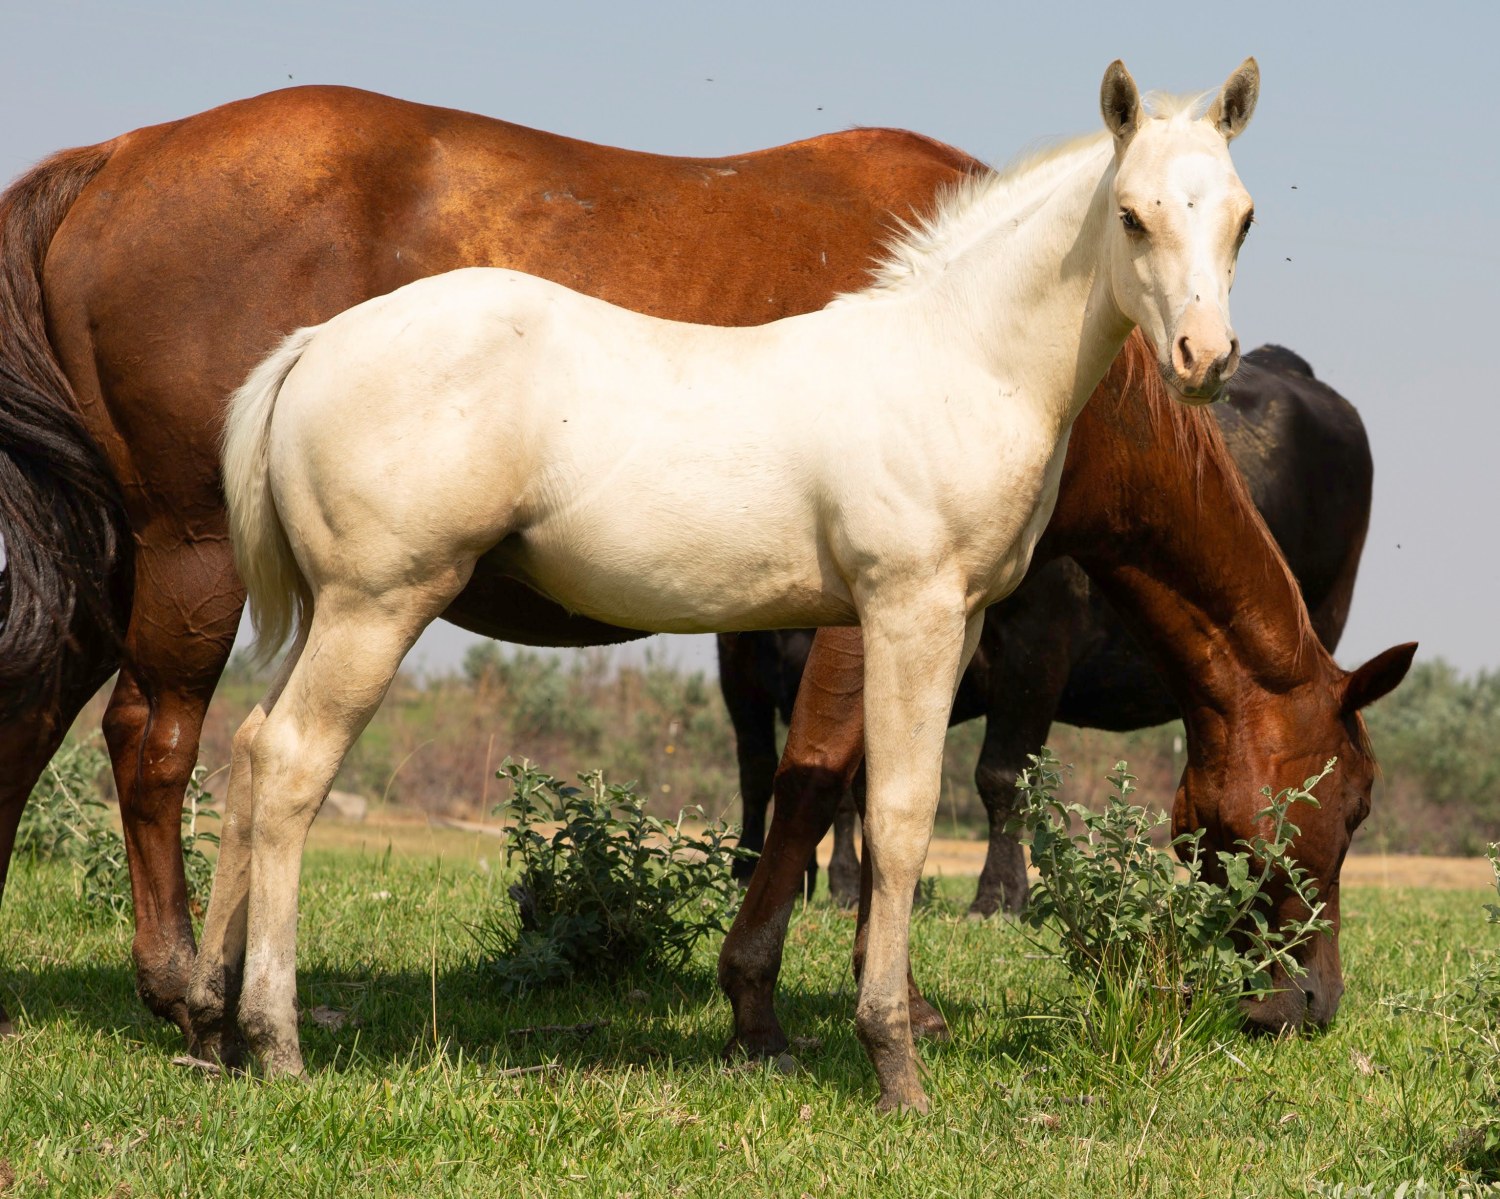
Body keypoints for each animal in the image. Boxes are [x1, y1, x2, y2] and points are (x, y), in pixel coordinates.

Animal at [198, 60, 1264, 1111]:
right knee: (291, 765)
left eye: (1243, 218)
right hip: (380, 604)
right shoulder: (907, 610)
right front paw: (894, 1063)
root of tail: (311, 346)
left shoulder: (955, 622)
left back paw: (208, 1023)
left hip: (331, 611)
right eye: (1130, 215)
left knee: (247, 751)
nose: (1204, 360)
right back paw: (275, 1040)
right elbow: (901, 815)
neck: (960, 363)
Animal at [716, 333, 1414, 1064]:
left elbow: (992, 775)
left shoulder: (1035, 640)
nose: (1316, 999)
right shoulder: (745, 656)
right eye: (1358, 806)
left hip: (1327, 612)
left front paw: (994, 899)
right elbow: (783, 769)